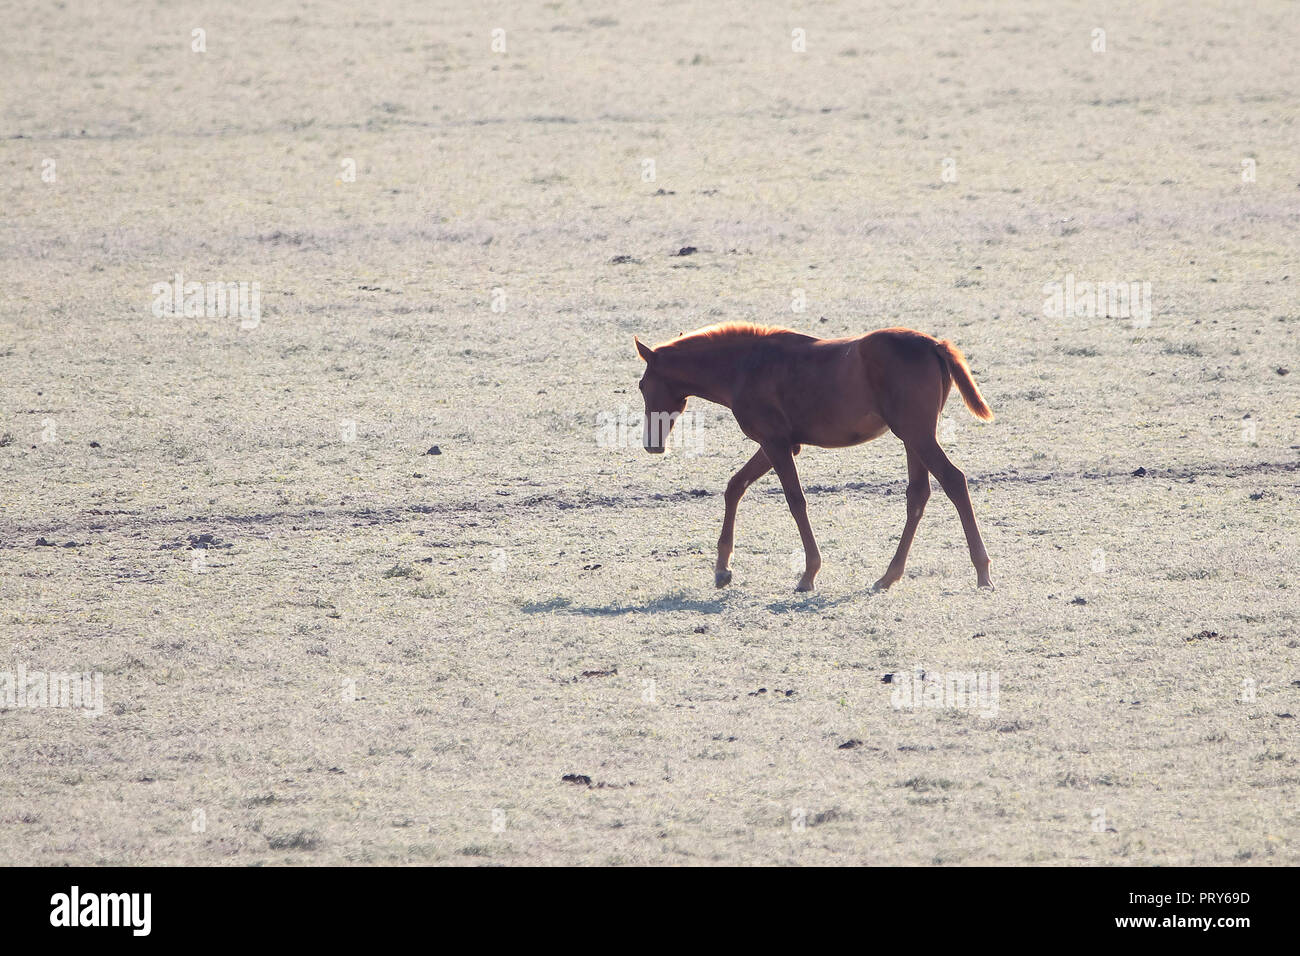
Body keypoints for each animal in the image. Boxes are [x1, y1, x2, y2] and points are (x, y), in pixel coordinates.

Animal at [634, 322, 995, 592]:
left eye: (641, 384)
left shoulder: (776, 444)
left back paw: (982, 571)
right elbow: (735, 487)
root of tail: (934, 344)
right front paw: (722, 569)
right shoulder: (777, 444)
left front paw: (808, 574)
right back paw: (888, 576)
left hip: (918, 435)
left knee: (954, 481)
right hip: (912, 439)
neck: (745, 366)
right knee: (918, 494)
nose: (652, 445)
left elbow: (795, 501)